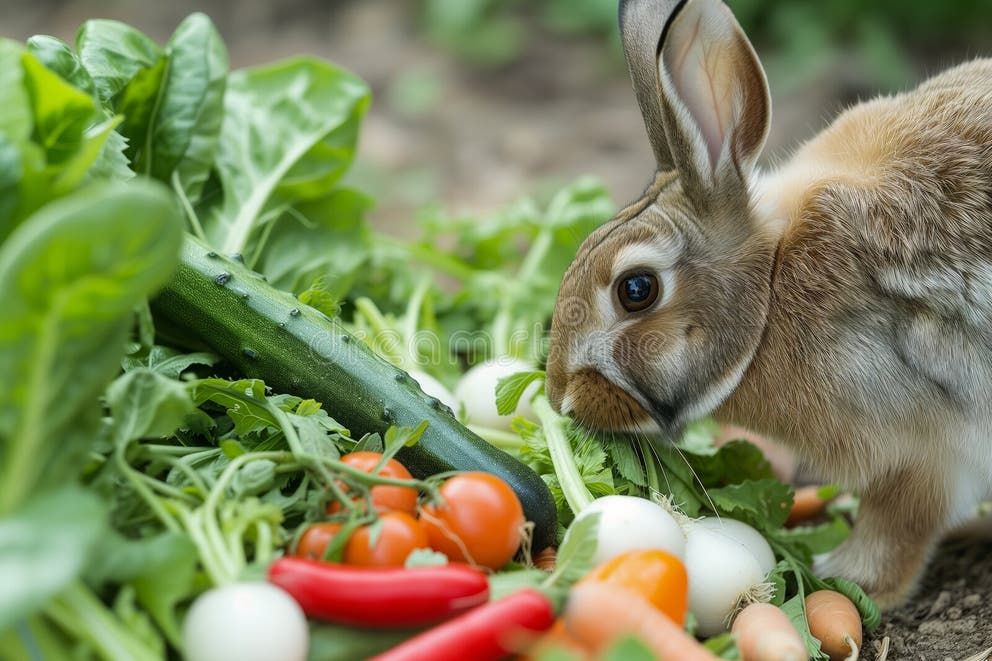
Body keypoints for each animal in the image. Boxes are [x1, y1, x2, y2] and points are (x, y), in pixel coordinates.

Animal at [545, 0, 992, 610]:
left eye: (636, 290)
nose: (559, 398)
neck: (769, 292)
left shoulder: (924, 454)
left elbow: (896, 528)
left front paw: (845, 577)